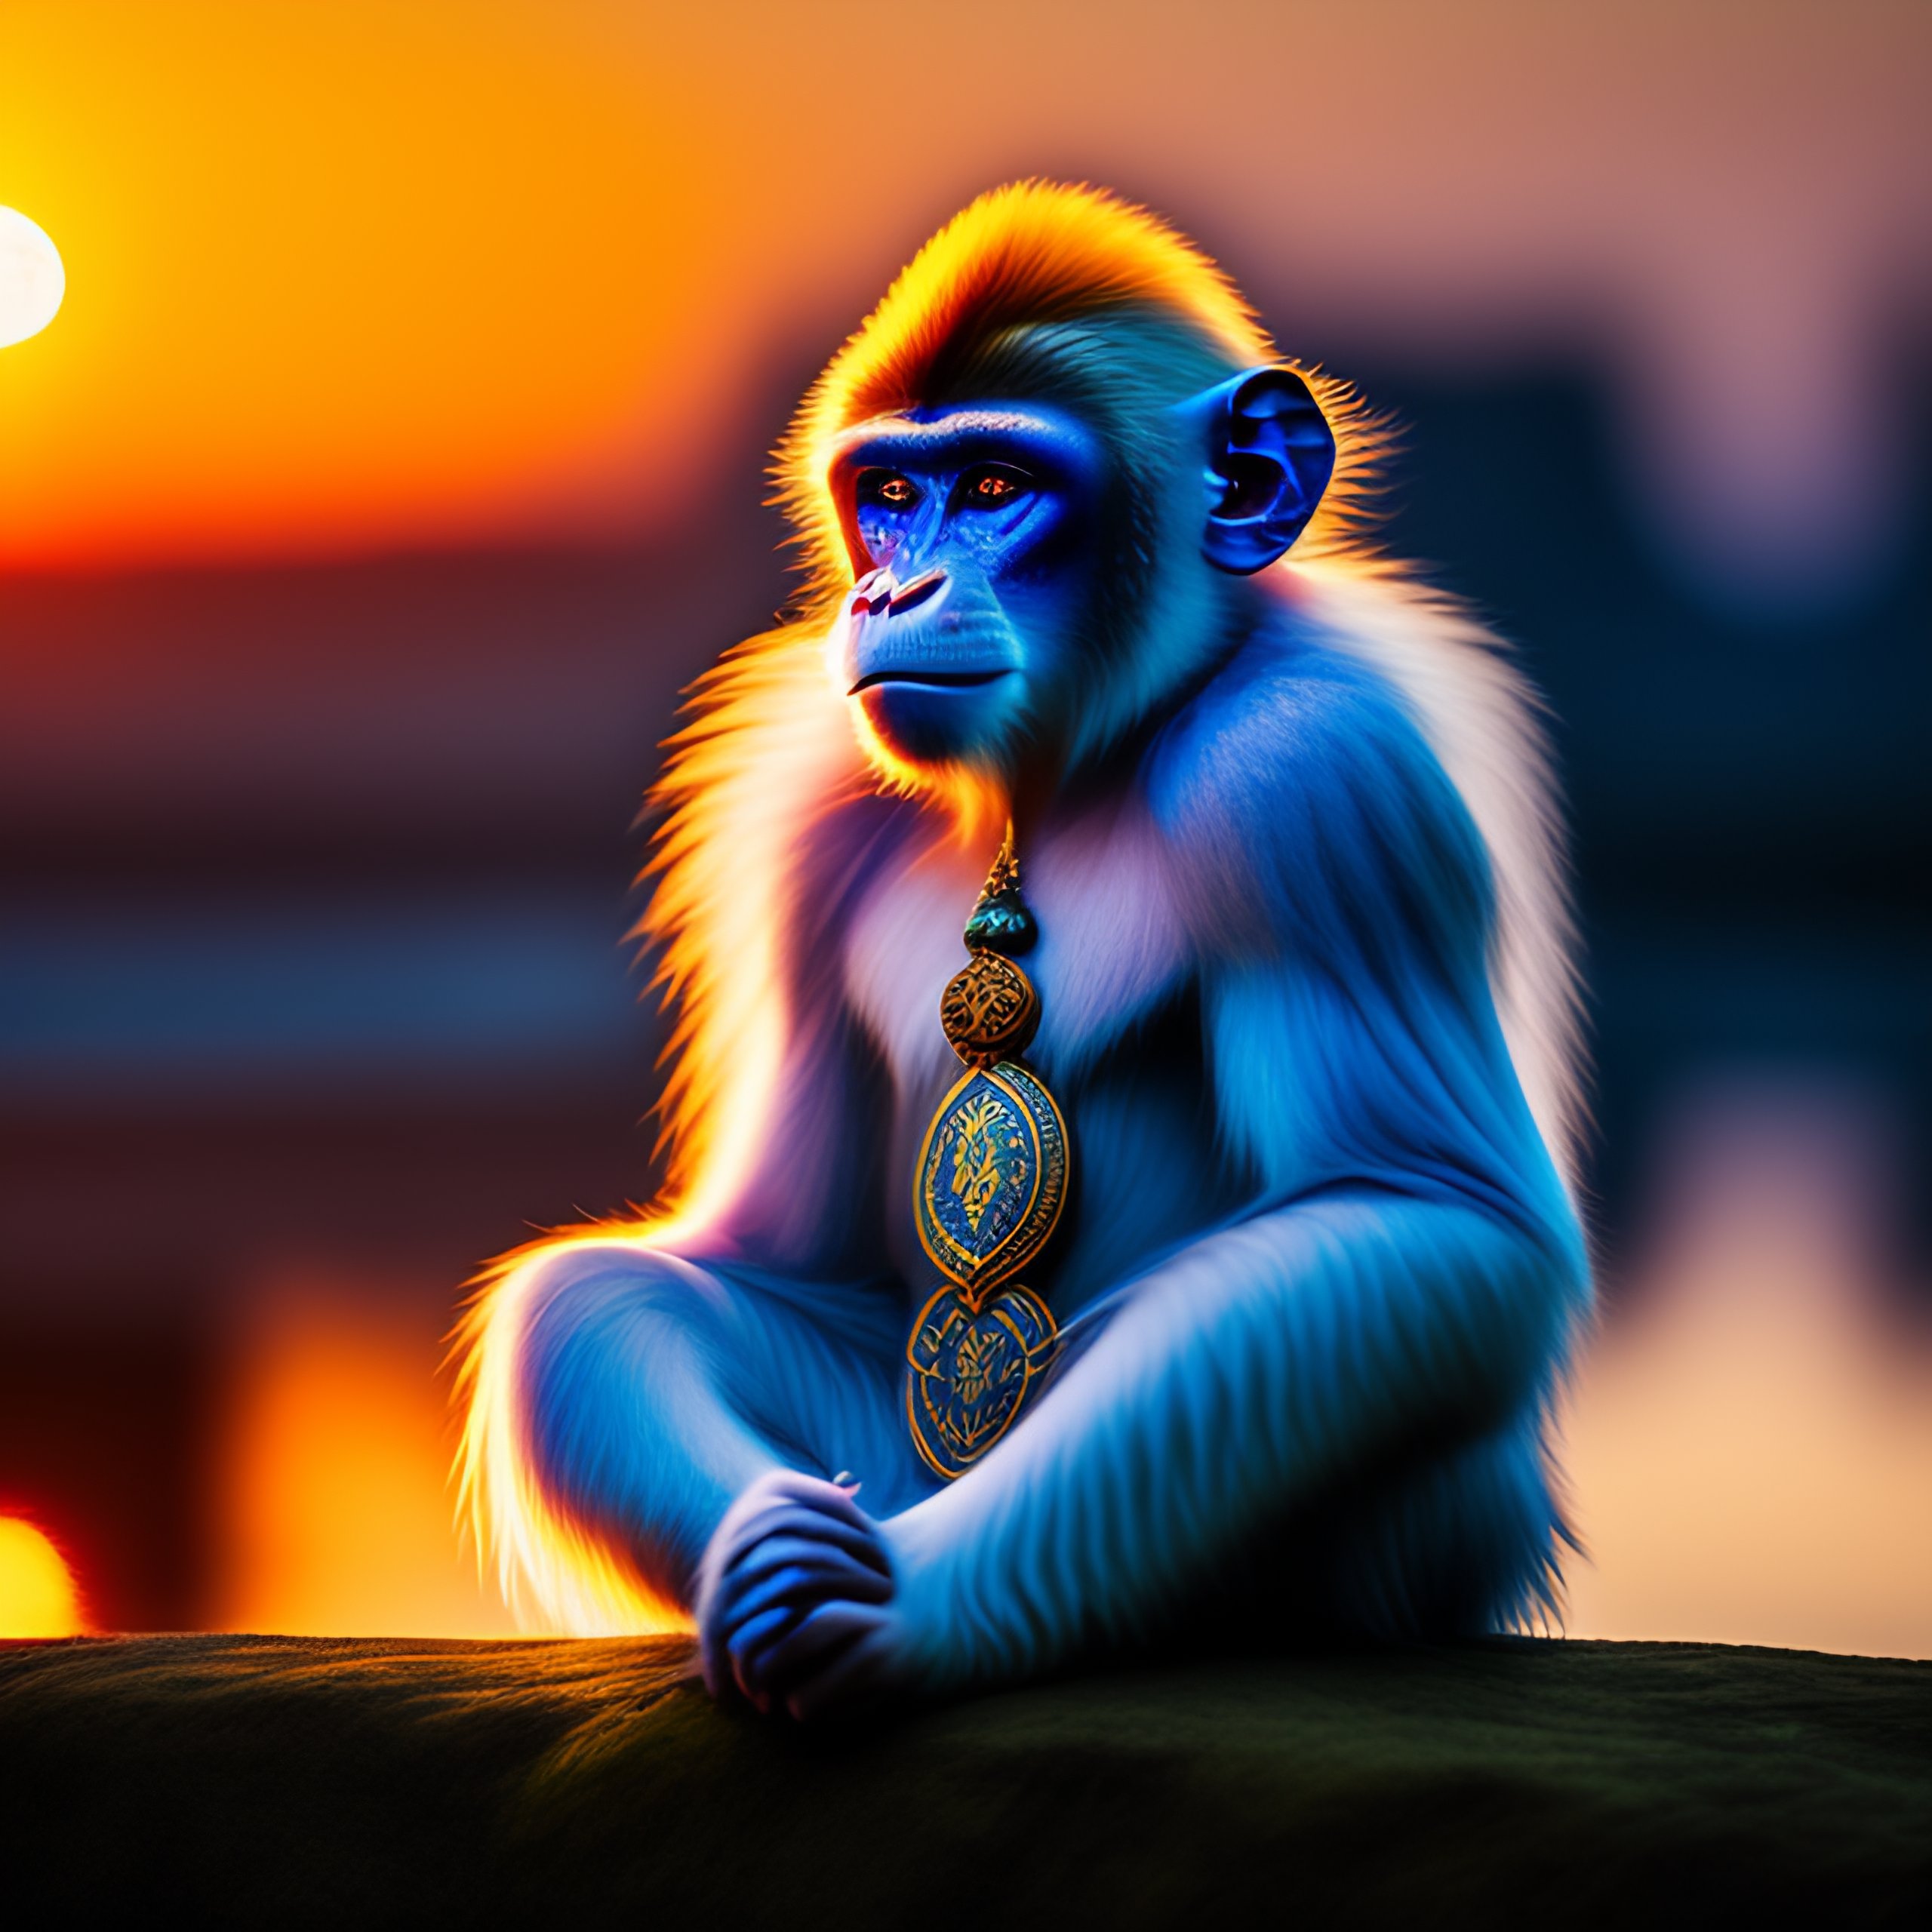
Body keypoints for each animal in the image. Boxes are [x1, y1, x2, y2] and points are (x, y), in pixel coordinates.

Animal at [454, 182, 1590, 1722]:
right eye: (890, 496)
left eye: (995, 488)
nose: (890, 593)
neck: (1070, 768)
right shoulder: (797, 816)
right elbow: (748, 1259)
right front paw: (760, 1547)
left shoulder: (1315, 770)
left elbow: (1420, 1218)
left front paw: (916, 1610)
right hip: (893, 1439)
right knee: (594, 1301)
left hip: (1426, 1540)